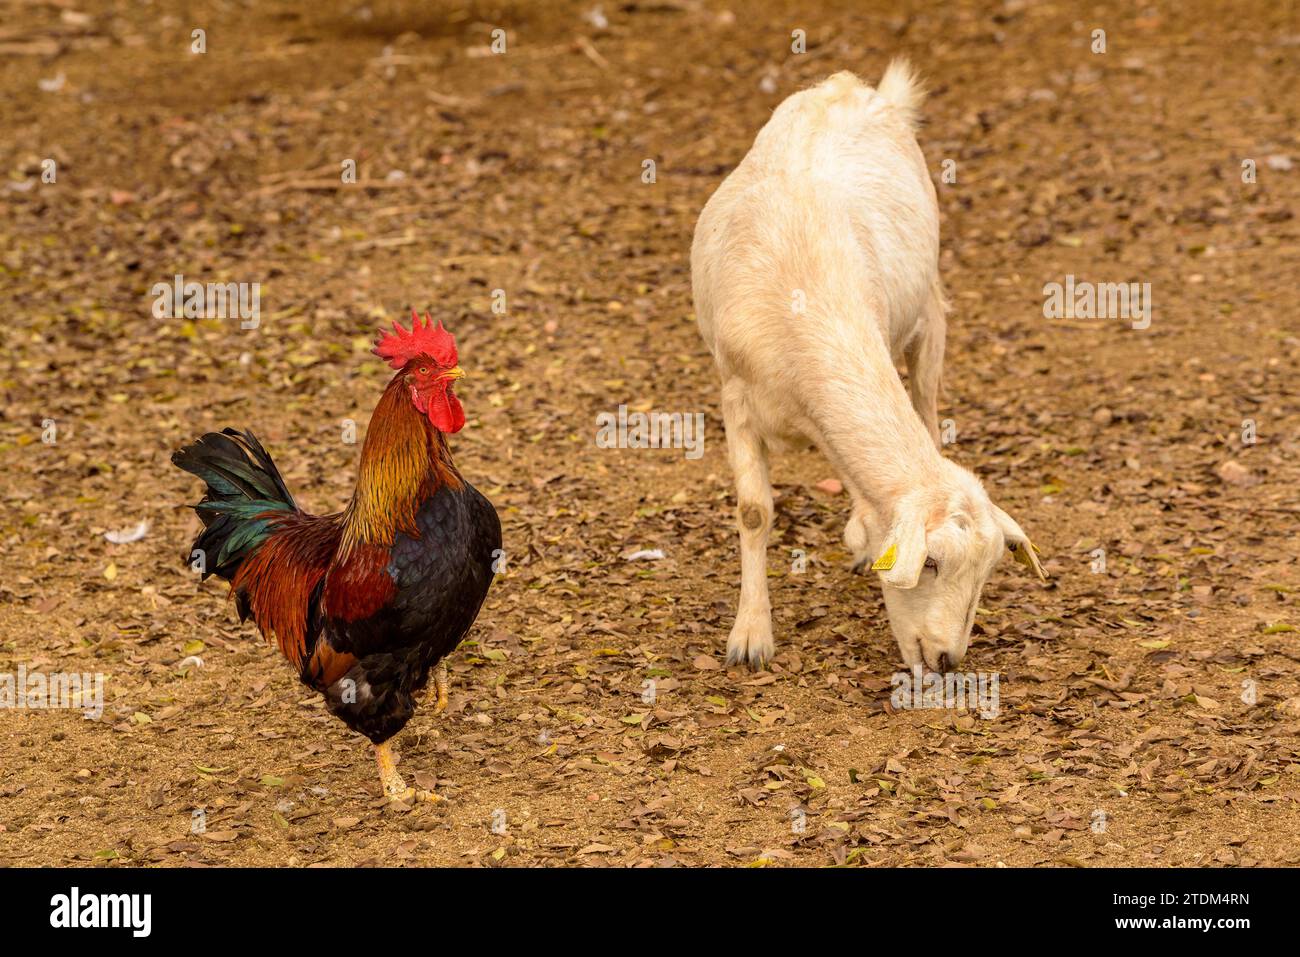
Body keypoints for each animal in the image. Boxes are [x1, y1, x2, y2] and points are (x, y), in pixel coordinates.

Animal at [691, 60, 1046, 674]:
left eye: (985, 577)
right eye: (931, 563)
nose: (948, 659)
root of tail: (852, 86)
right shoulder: (734, 394)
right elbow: (755, 511)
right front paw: (751, 636)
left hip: (929, 311)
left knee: (925, 405)